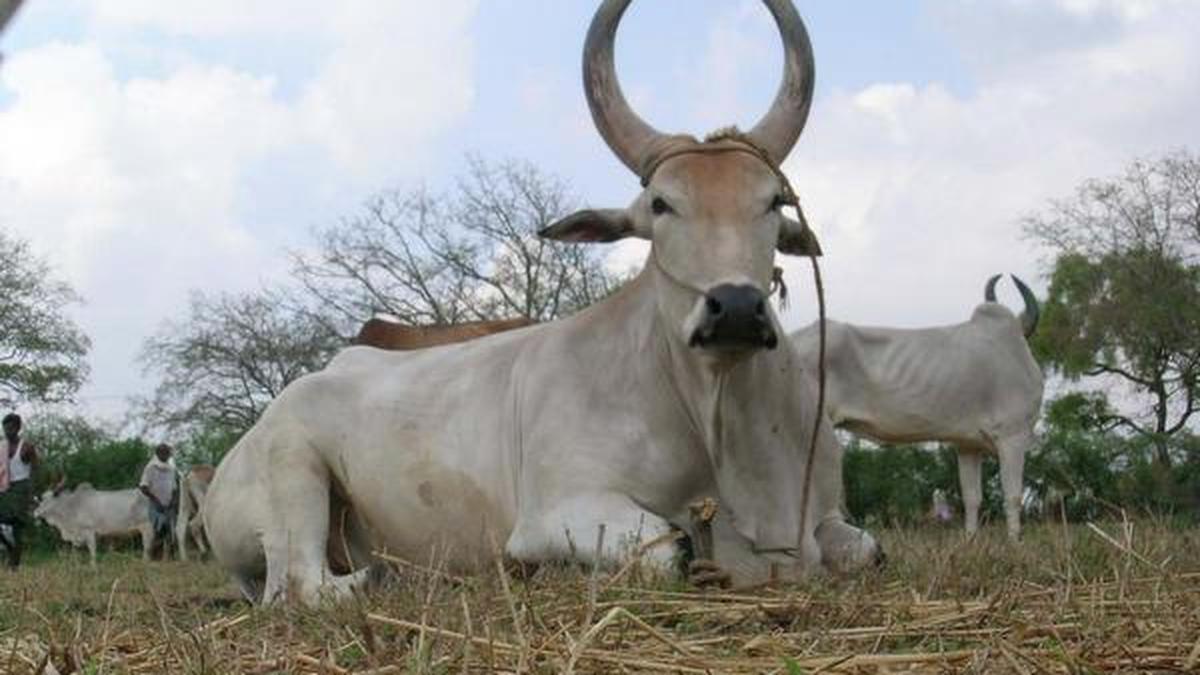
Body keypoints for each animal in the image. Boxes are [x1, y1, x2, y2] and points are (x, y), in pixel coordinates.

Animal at [203, 0, 880, 605]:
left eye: (773, 200)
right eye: (661, 204)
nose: (735, 307)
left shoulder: (828, 519)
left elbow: (867, 550)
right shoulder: (559, 511)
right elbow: (674, 549)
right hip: (293, 467)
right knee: (301, 586)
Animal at [790, 274, 1044, 540]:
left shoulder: (967, 446)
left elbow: (972, 498)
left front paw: (971, 540)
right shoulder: (1012, 437)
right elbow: (1013, 496)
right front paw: (1015, 543)